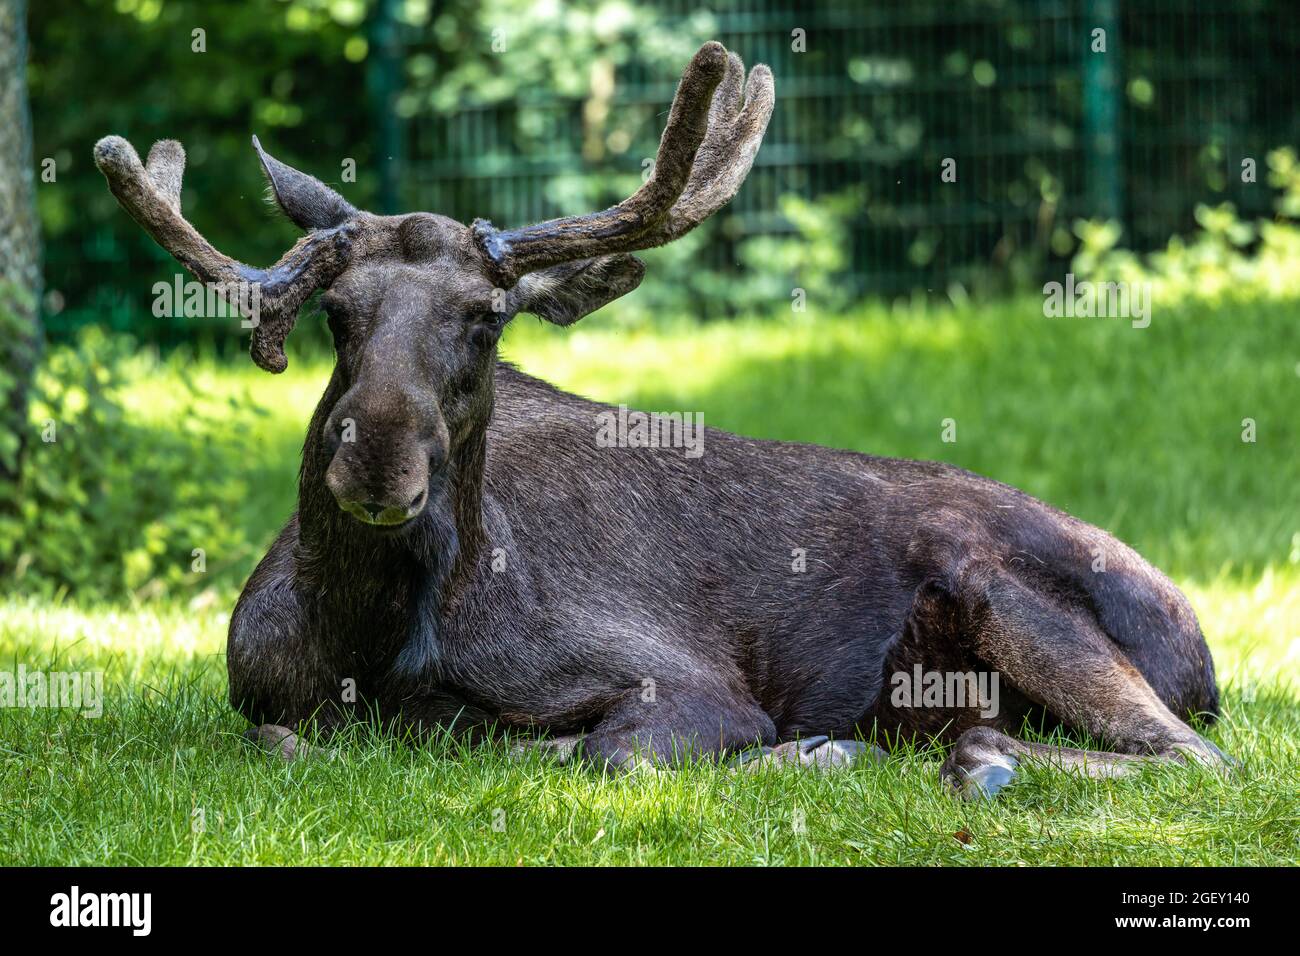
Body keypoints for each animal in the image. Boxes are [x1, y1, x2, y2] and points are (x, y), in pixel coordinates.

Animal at [94, 42, 1230, 798]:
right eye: (338, 310)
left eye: (486, 316)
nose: (376, 461)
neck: (368, 634)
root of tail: (1205, 651)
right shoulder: (257, 697)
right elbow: (284, 739)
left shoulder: (685, 679)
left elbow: (597, 753)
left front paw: (800, 747)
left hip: (1008, 591)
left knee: (1196, 753)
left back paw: (938, 759)